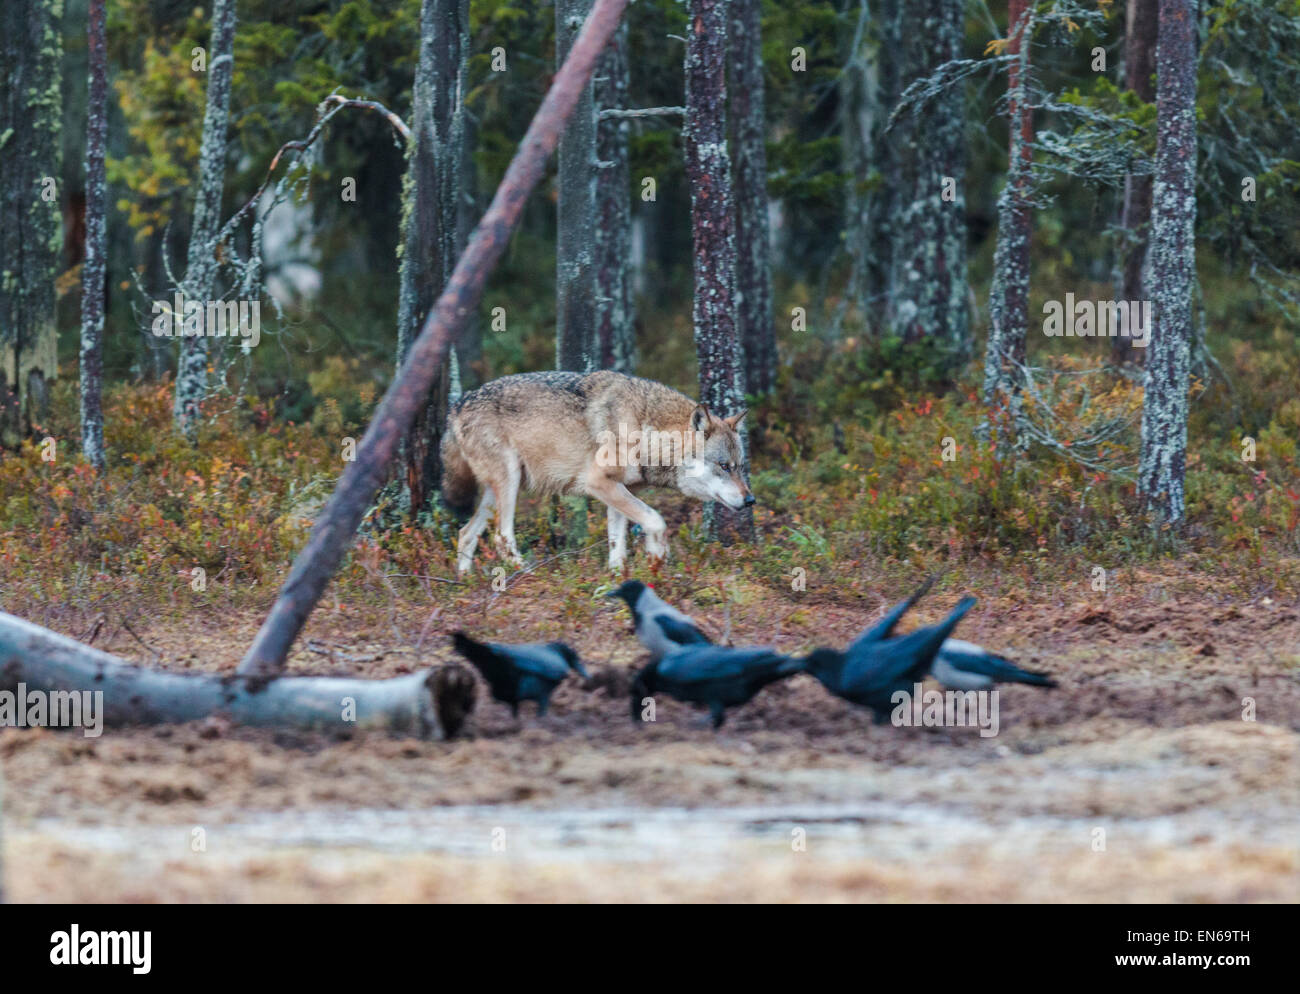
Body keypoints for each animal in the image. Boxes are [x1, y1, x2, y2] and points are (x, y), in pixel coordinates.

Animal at [440, 370, 753, 572]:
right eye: (724, 466)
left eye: (740, 466)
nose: (750, 500)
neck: (643, 427)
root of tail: (455, 406)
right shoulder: (598, 482)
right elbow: (656, 520)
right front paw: (657, 557)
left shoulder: (617, 490)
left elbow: (617, 546)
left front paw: (619, 581)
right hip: (510, 484)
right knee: (501, 538)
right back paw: (529, 574)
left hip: (497, 492)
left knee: (466, 533)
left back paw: (466, 583)